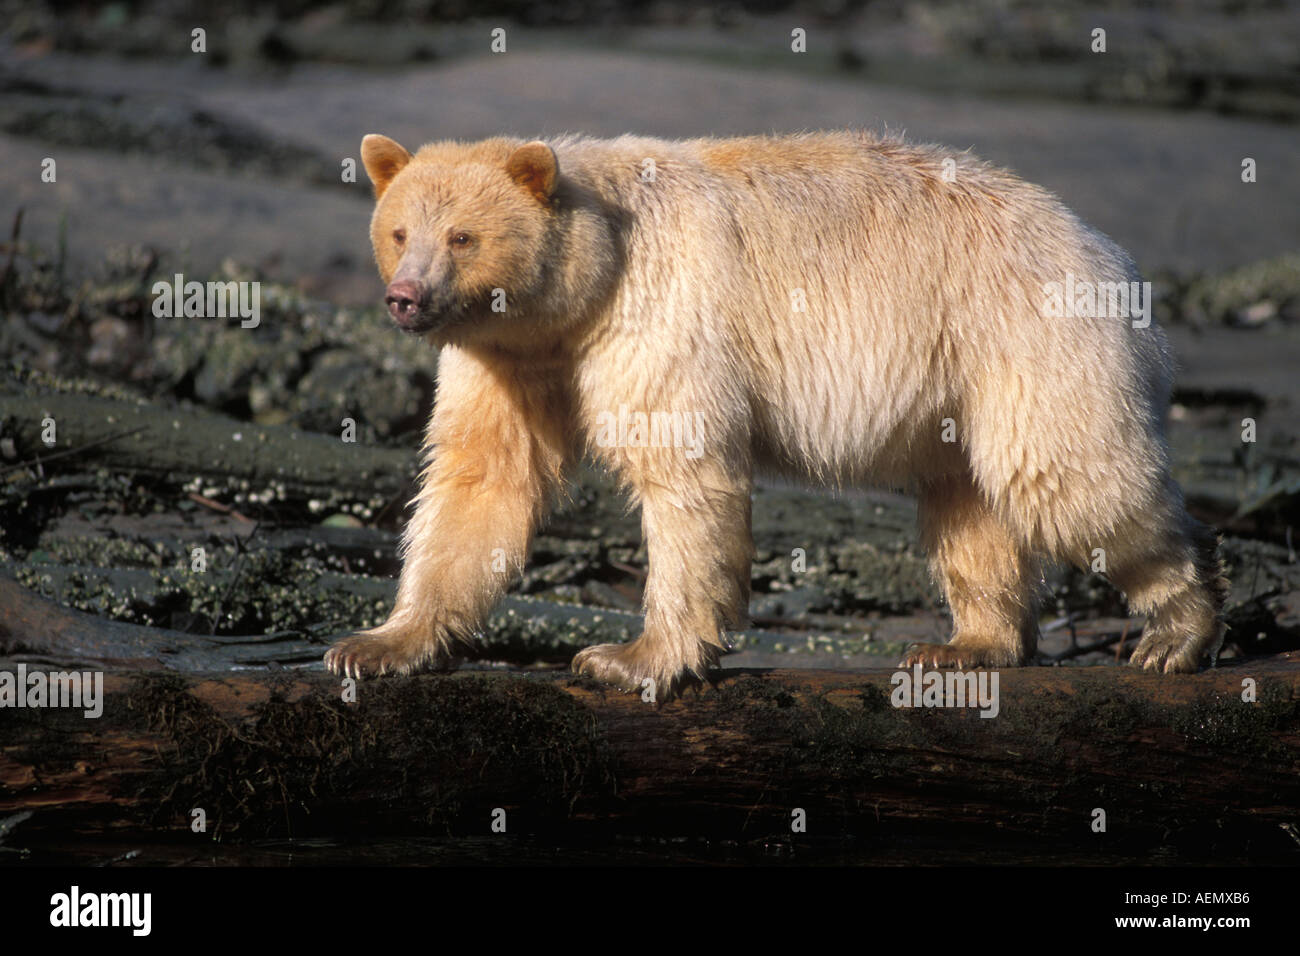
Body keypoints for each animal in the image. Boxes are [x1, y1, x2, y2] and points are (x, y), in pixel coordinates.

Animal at [324, 129, 1228, 696]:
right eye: (400, 231)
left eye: (464, 236)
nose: (406, 298)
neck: (579, 296)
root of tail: (1110, 254)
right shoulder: (509, 360)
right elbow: (478, 482)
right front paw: (375, 646)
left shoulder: (659, 312)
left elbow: (682, 468)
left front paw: (629, 658)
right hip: (961, 382)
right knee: (968, 504)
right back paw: (969, 641)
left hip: (1028, 337)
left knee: (1067, 478)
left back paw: (1175, 631)